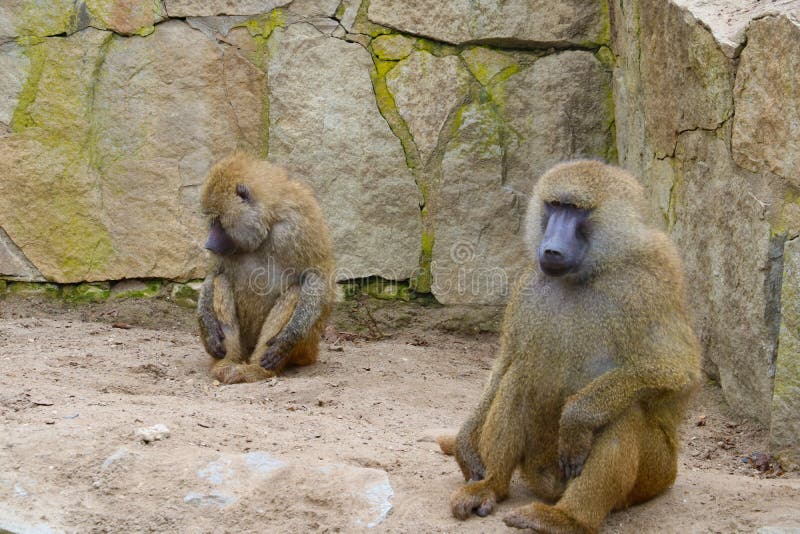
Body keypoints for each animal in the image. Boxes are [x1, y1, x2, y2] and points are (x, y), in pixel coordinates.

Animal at [196, 152, 335, 384]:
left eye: (218, 221)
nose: (208, 244)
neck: (268, 221)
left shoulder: (299, 226)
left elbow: (317, 278)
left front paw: (287, 340)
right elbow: (215, 273)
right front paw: (207, 326)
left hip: (307, 347)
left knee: (296, 291)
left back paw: (258, 370)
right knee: (221, 282)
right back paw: (226, 365)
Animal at [439, 160, 701, 533]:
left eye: (576, 210)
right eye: (554, 206)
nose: (550, 249)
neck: (589, 271)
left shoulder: (651, 281)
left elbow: (677, 371)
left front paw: (577, 420)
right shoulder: (527, 288)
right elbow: (507, 363)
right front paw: (466, 443)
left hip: (656, 473)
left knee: (626, 411)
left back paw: (569, 518)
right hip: (539, 465)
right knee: (519, 379)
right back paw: (490, 487)